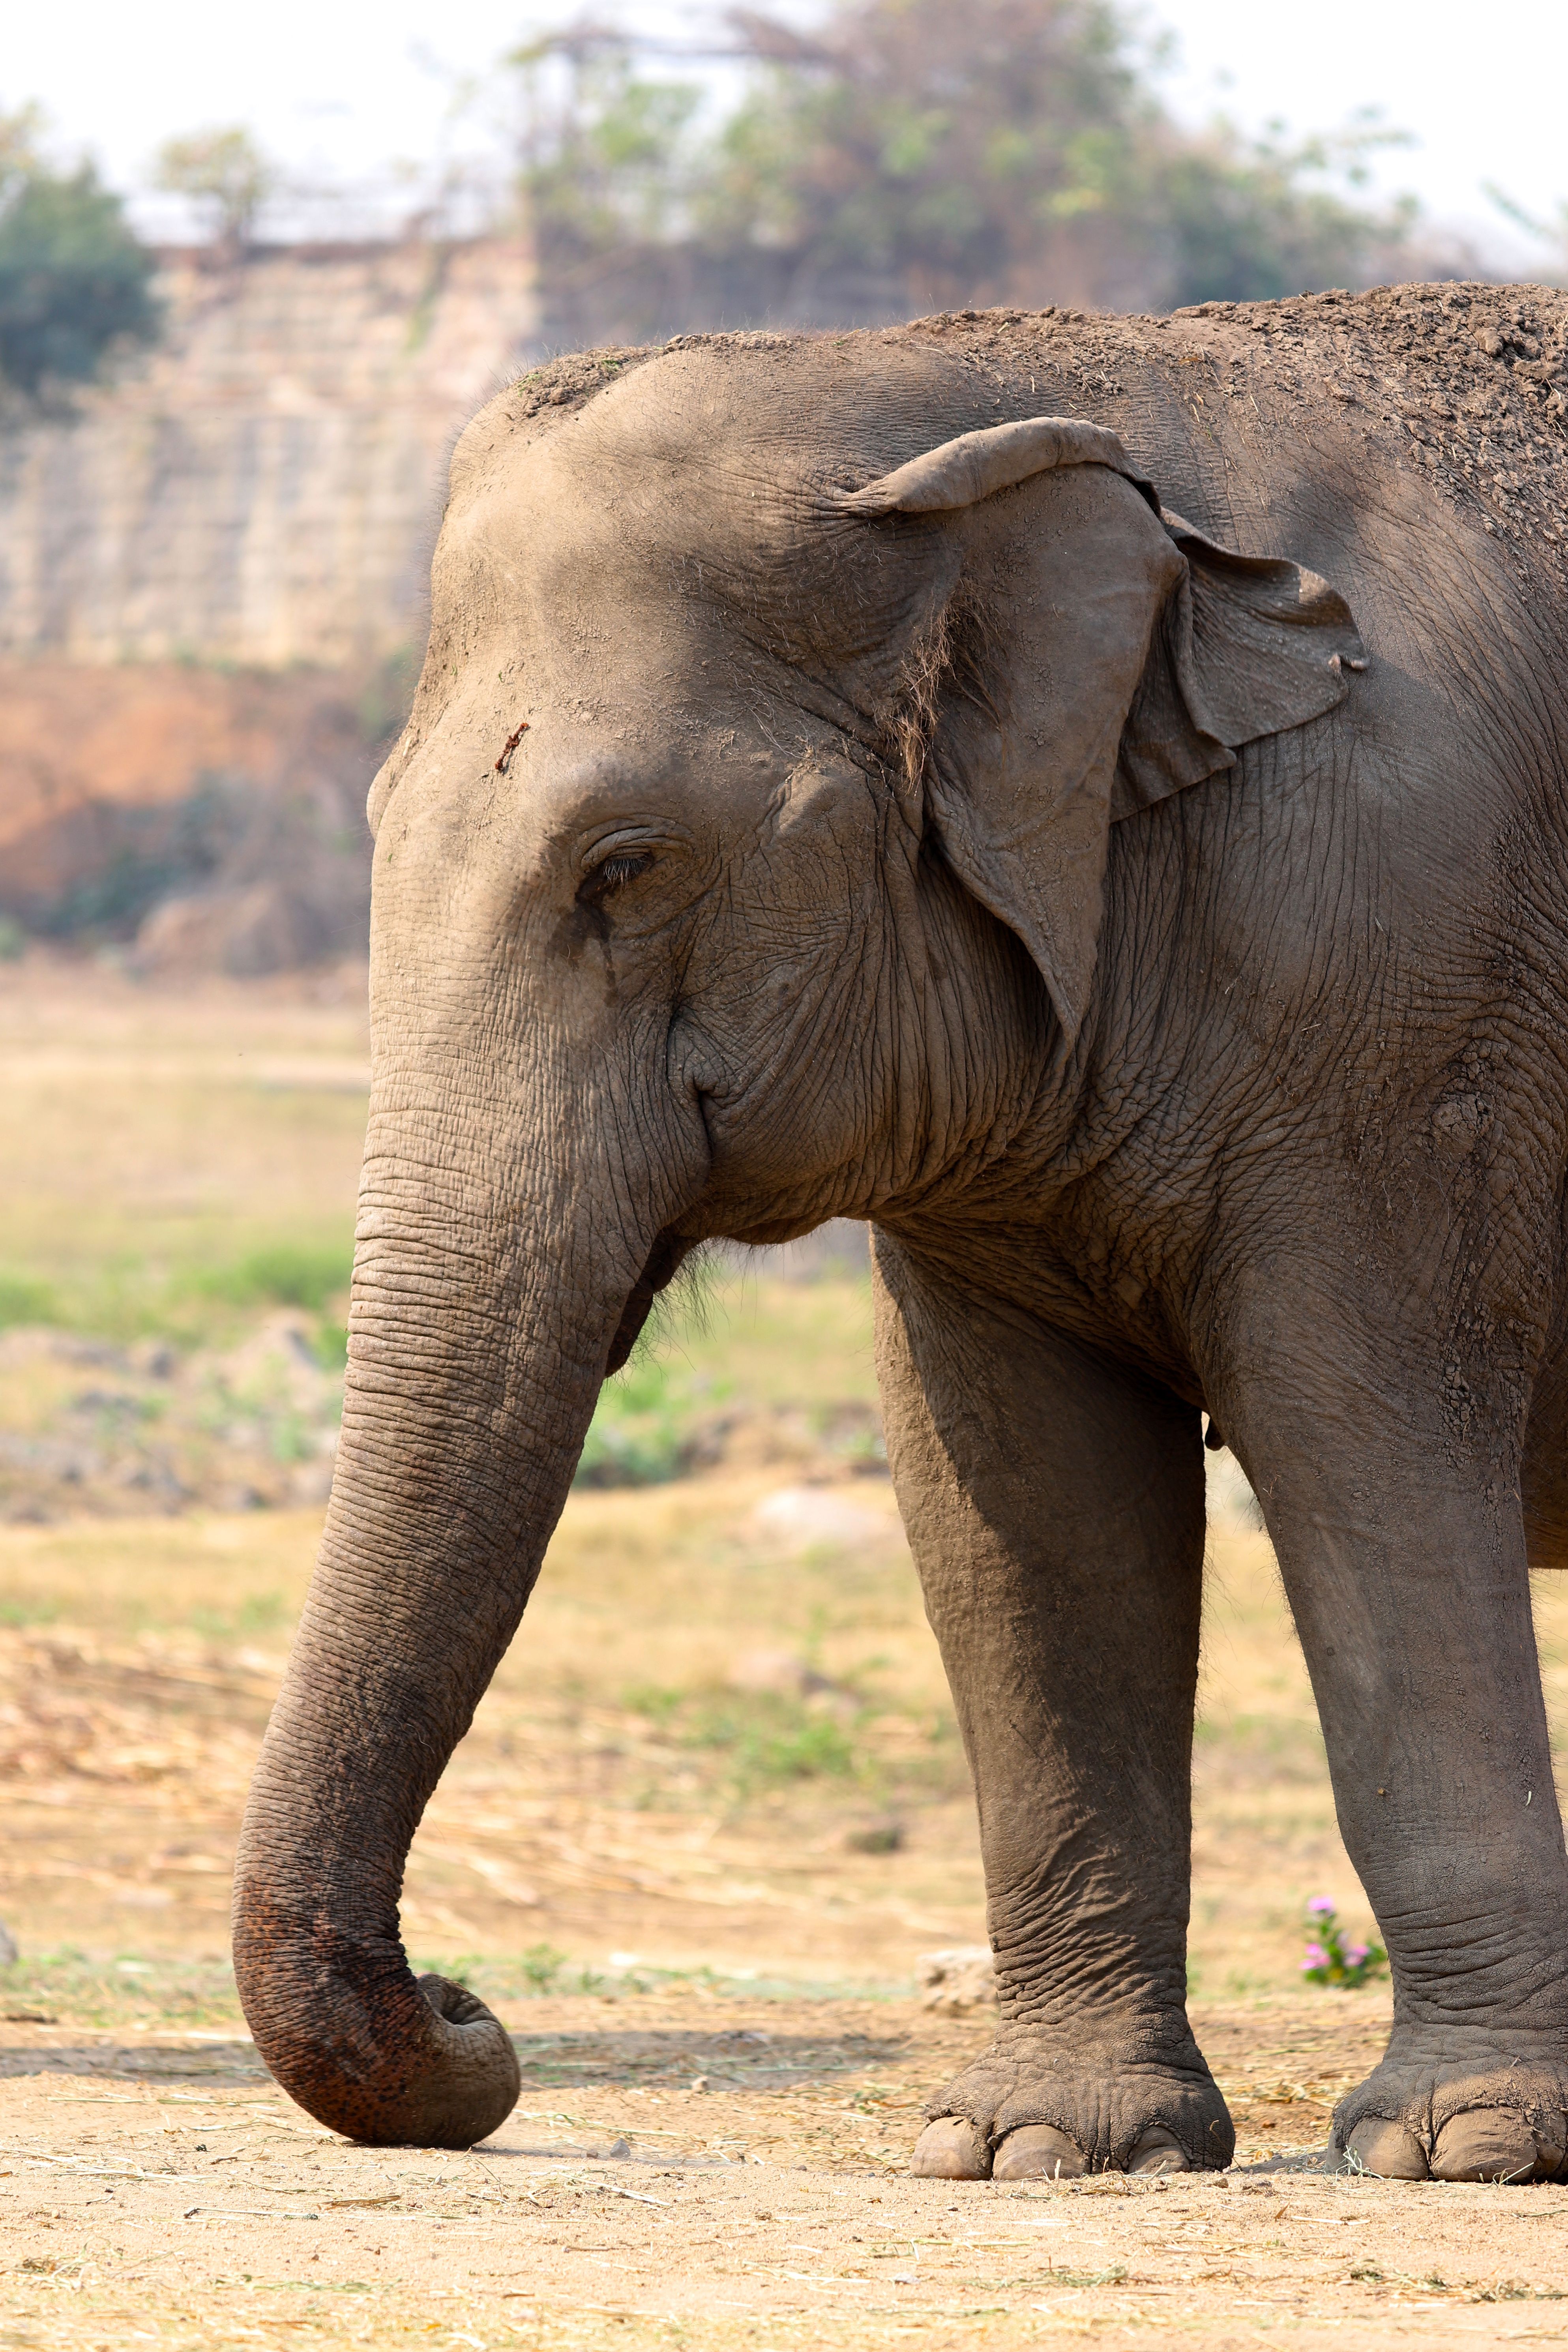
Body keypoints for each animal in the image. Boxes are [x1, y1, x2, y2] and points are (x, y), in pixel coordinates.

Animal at [233, 282, 1568, 2184]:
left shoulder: (1401, 977)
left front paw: (1457, 2145)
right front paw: (1036, 2146)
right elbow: (1016, 1494)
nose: (473, 2018)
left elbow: (1362, 1435)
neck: (969, 399)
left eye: (625, 865)